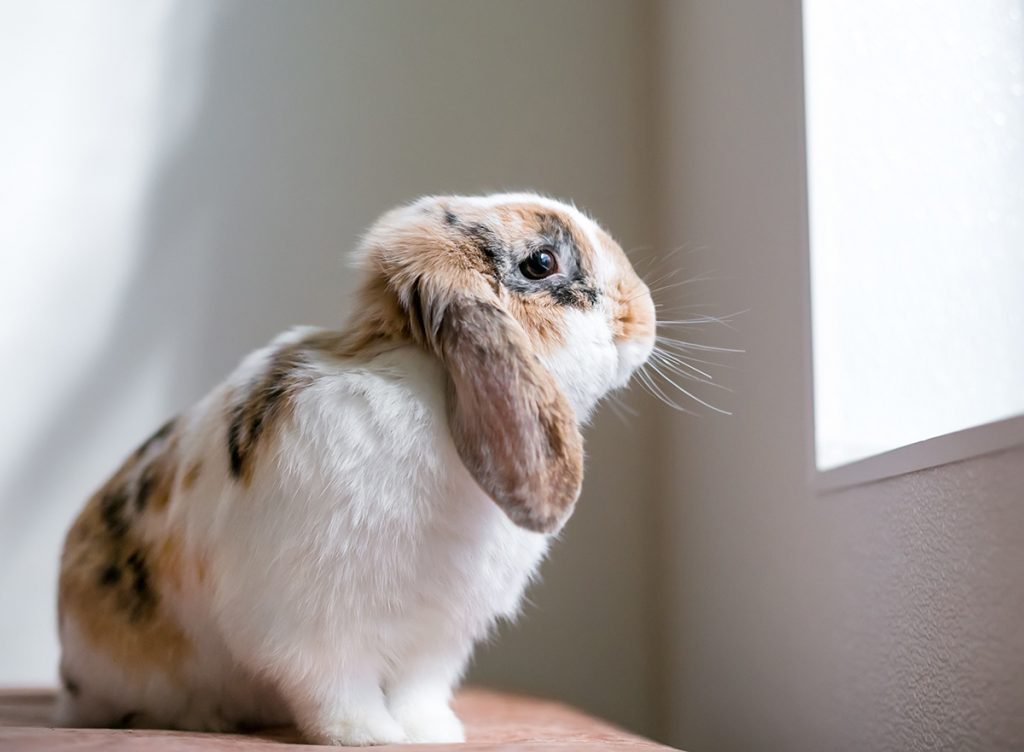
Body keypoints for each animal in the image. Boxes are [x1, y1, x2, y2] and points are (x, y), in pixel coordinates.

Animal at [55, 193, 656, 745]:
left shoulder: (438, 635)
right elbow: (338, 689)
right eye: (541, 263)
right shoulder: (316, 626)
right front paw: (369, 736)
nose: (642, 313)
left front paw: (433, 733)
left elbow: (418, 690)